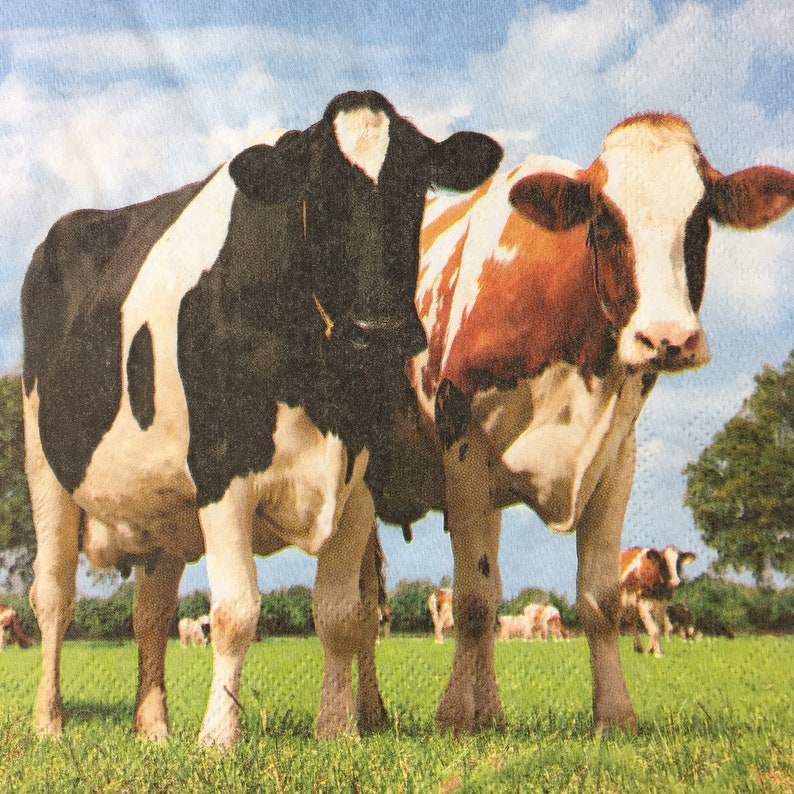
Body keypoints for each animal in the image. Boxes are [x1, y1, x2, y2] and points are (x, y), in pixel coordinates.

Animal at [21, 89, 502, 747]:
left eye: (418, 189)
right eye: (317, 196)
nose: (379, 328)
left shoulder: (358, 483)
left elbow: (341, 614)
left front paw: (338, 731)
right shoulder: (222, 472)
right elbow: (235, 612)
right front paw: (219, 738)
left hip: (162, 507)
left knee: (150, 613)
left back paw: (153, 728)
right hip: (44, 467)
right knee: (53, 597)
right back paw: (49, 722)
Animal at [372, 112, 794, 735]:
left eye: (700, 220)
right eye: (606, 220)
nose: (667, 338)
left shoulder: (616, 458)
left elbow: (599, 600)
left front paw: (614, 716)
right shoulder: (463, 451)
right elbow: (472, 602)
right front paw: (452, 717)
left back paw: (485, 711)